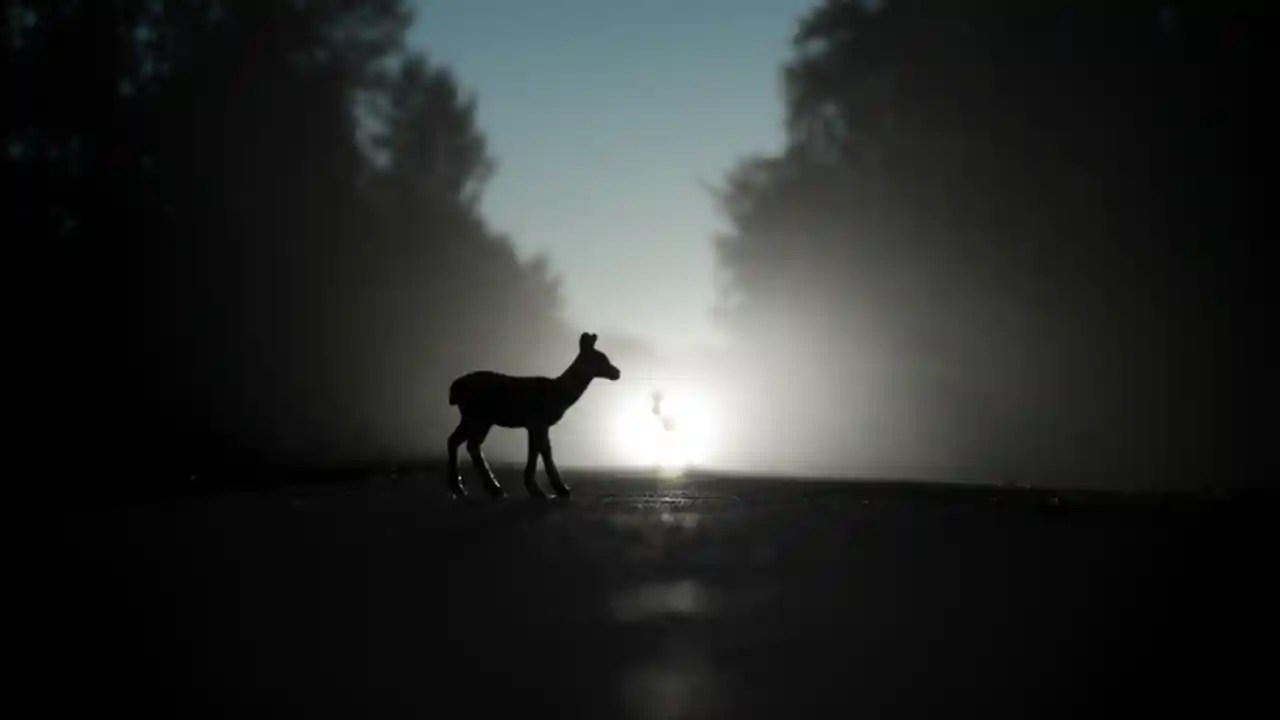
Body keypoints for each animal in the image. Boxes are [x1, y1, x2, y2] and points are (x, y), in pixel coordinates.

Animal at [446, 332, 621, 499]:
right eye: (601, 358)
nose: (617, 372)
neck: (559, 394)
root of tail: (454, 388)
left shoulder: (541, 425)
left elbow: (545, 451)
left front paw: (561, 489)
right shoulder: (536, 422)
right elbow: (536, 452)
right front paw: (538, 491)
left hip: (478, 419)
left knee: (464, 443)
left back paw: (480, 489)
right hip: (477, 417)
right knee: (465, 443)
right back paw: (475, 488)